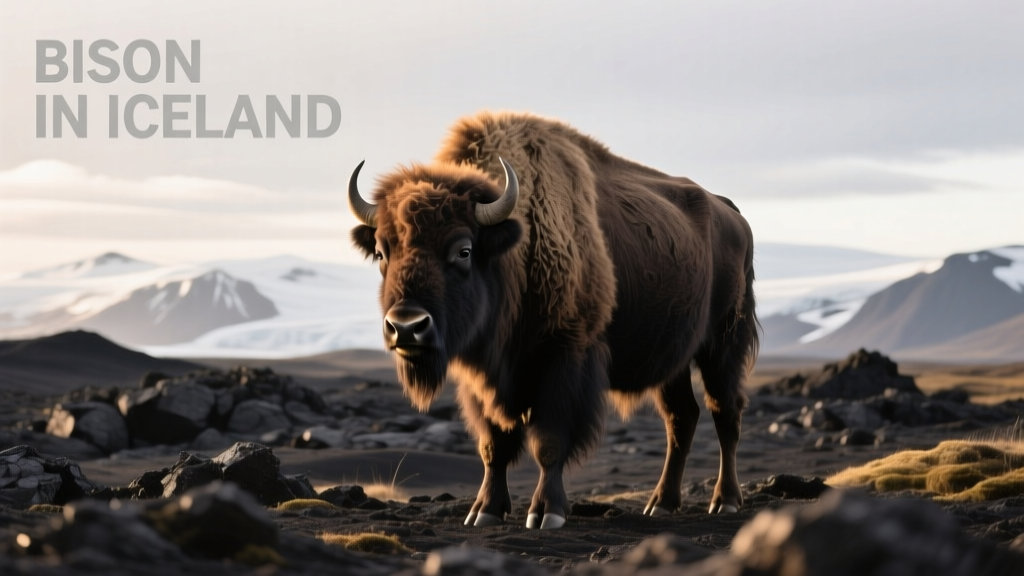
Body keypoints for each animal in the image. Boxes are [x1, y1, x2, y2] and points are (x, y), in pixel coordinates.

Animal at [349, 112, 757, 529]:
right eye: (381, 252)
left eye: (463, 250)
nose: (406, 326)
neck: (517, 245)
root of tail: (731, 213)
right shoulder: (484, 377)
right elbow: (494, 445)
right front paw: (484, 511)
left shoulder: (564, 358)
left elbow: (549, 442)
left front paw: (547, 513)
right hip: (671, 358)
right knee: (681, 418)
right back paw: (661, 503)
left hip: (722, 344)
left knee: (725, 412)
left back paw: (724, 501)